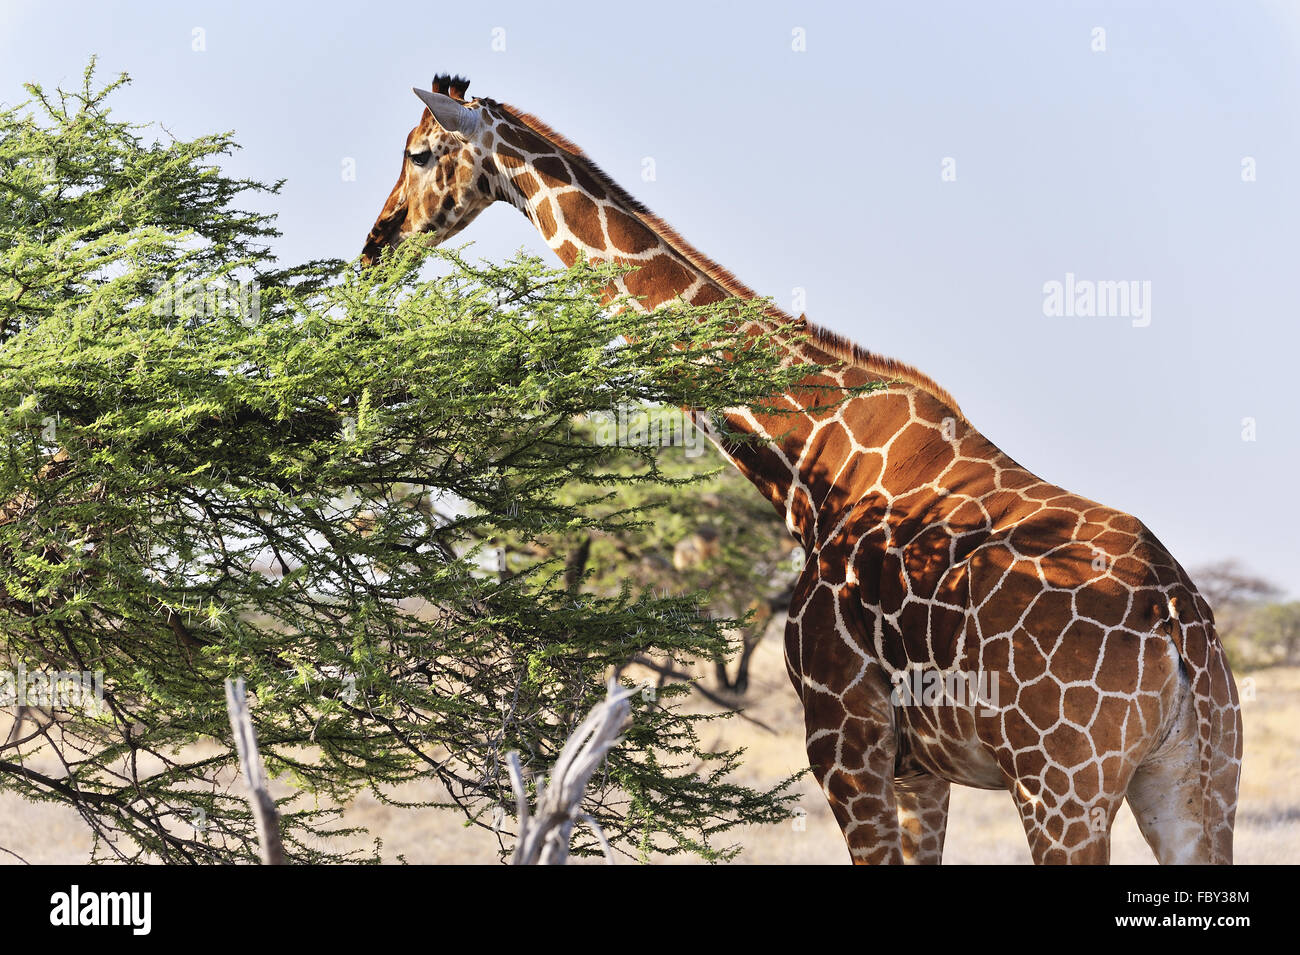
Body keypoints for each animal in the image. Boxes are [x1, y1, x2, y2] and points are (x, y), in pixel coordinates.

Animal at [362, 75, 1243, 865]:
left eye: (418, 152)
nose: (377, 245)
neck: (812, 460)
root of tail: (1181, 626)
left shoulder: (843, 739)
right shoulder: (919, 768)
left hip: (1062, 785)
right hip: (1196, 783)